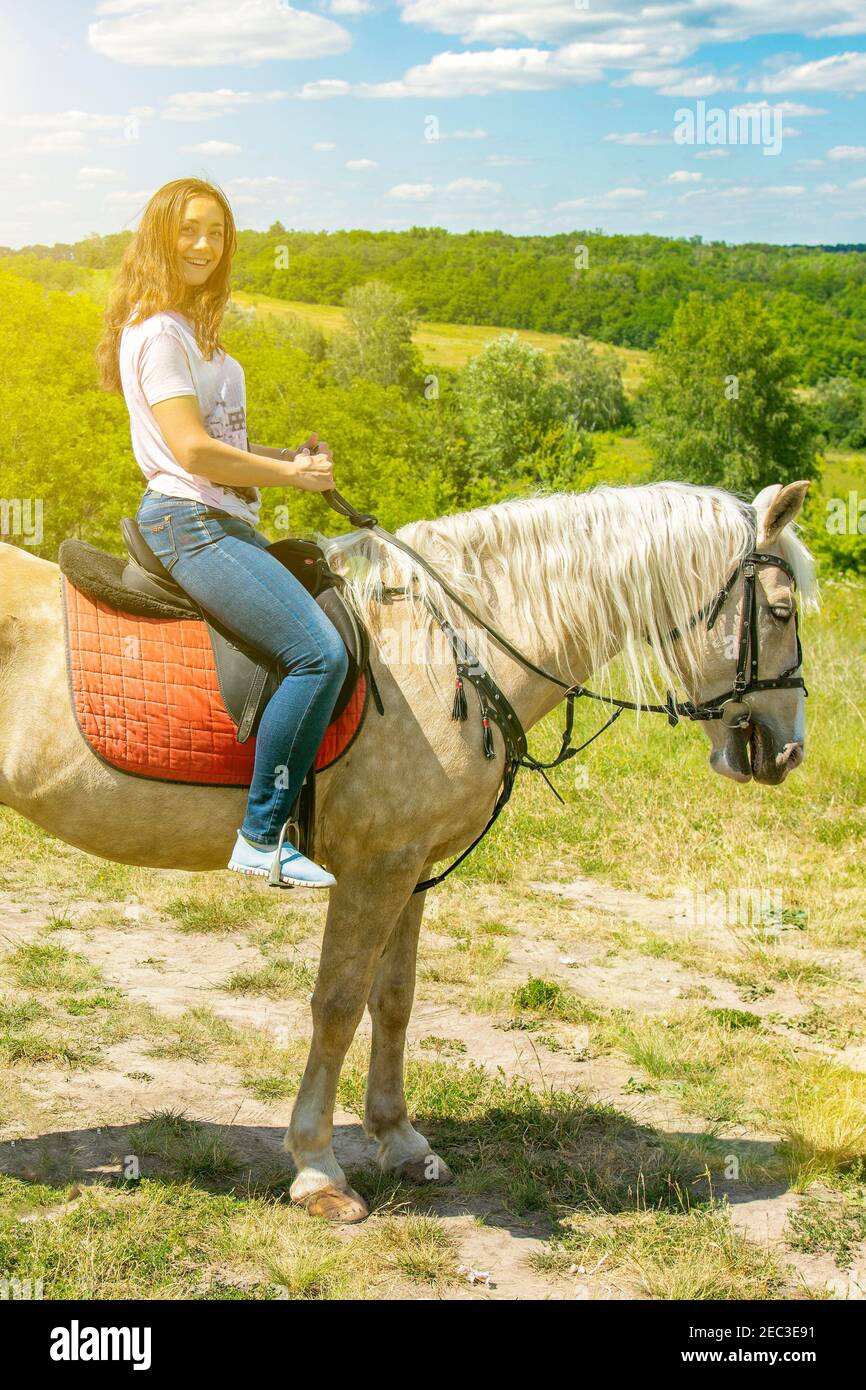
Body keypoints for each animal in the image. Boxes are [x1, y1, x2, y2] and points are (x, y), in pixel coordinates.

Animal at [0, 478, 816, 1221]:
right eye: (781, 610)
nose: (788, 751)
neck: (454, 652)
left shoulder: (410, 867)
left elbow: (394, 999)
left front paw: (400, 1140)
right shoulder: (375, 869)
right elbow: (337, 1004)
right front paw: (319, 1169)